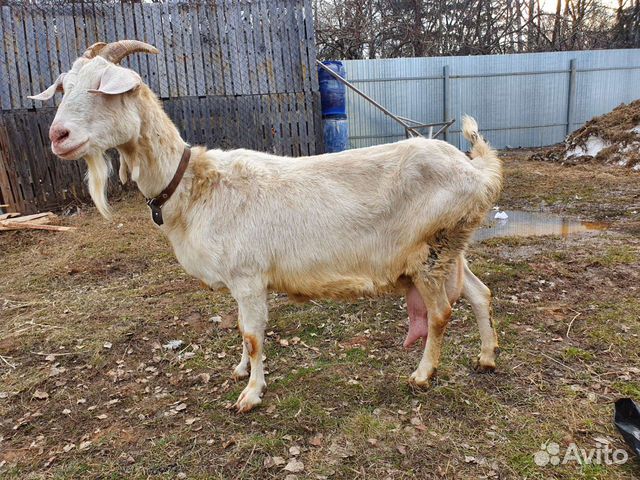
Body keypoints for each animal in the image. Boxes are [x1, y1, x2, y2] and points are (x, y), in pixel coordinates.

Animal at [30, 40, 502, 412]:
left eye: (102, 87)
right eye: (64, 88)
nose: (58, 136)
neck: (193, 185)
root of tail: (477, 172)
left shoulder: (248, 276)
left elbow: (253, 334)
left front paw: (251, 394)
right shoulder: (238, 280)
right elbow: (240, 331)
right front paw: (240, 370)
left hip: (432, 251)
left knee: (441, 312)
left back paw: (423, 374)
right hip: (453, 247)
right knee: (480, 292)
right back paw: (486, 357)